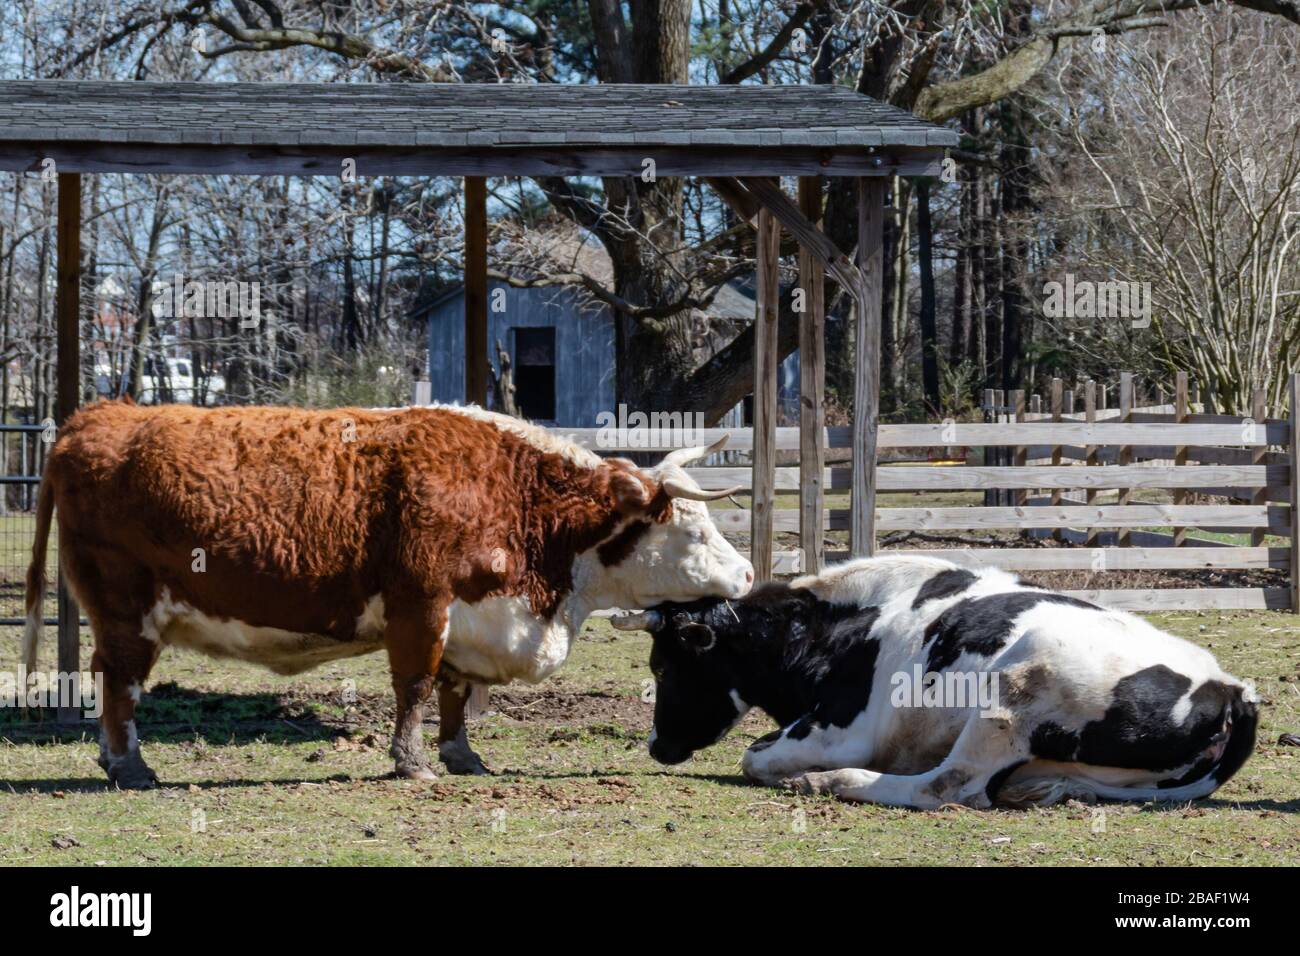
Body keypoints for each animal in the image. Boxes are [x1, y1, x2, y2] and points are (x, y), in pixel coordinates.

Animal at [22, 400, 754, 789]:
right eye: (692, 527)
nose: (748, 575)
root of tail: (99, 415)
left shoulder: (469, 618)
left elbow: (456, 692)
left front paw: (463, 757)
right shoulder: (420, 605)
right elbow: (417, 687)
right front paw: (411, 763)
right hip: (126, 613)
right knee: (120, 686)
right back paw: (130, 766)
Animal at [614, 554, 1258, 808]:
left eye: (663, 666)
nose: (656, 745)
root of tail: (1229, 687)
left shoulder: (841, 731)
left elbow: (754, 758)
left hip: (1015, 693)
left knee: (947, 787)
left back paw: (831, 782)